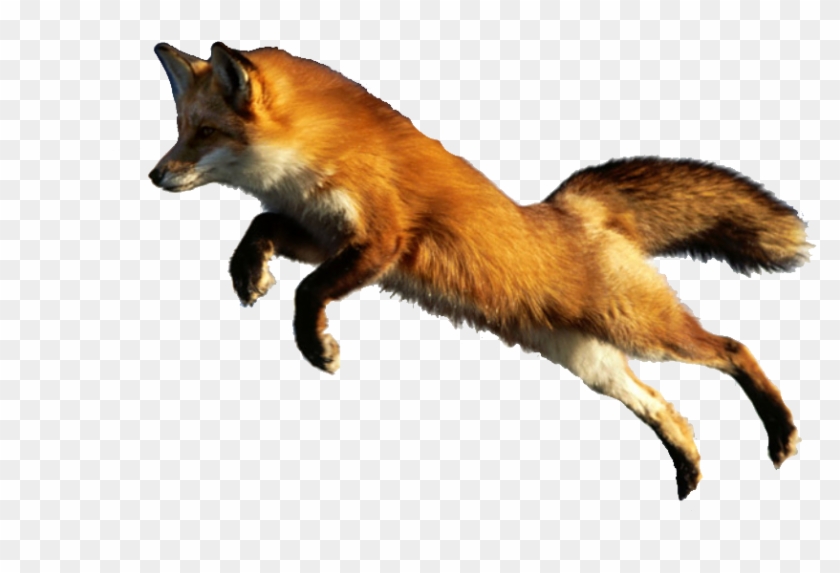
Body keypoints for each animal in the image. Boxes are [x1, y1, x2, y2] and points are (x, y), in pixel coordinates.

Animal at [149, 42, 810, 500]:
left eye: (205, 132)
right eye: (180, 130)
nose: (155, 176)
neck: (317, 155)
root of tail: (572, 207)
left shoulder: (382, 240)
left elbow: (308, 293)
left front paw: (317, 347)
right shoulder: (320, 234)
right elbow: (259, 227)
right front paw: (248, 274)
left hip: (644, 330)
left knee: (734, 348)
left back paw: (780, 432)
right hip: (592, 361)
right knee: (666, 409)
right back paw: (689, 468)